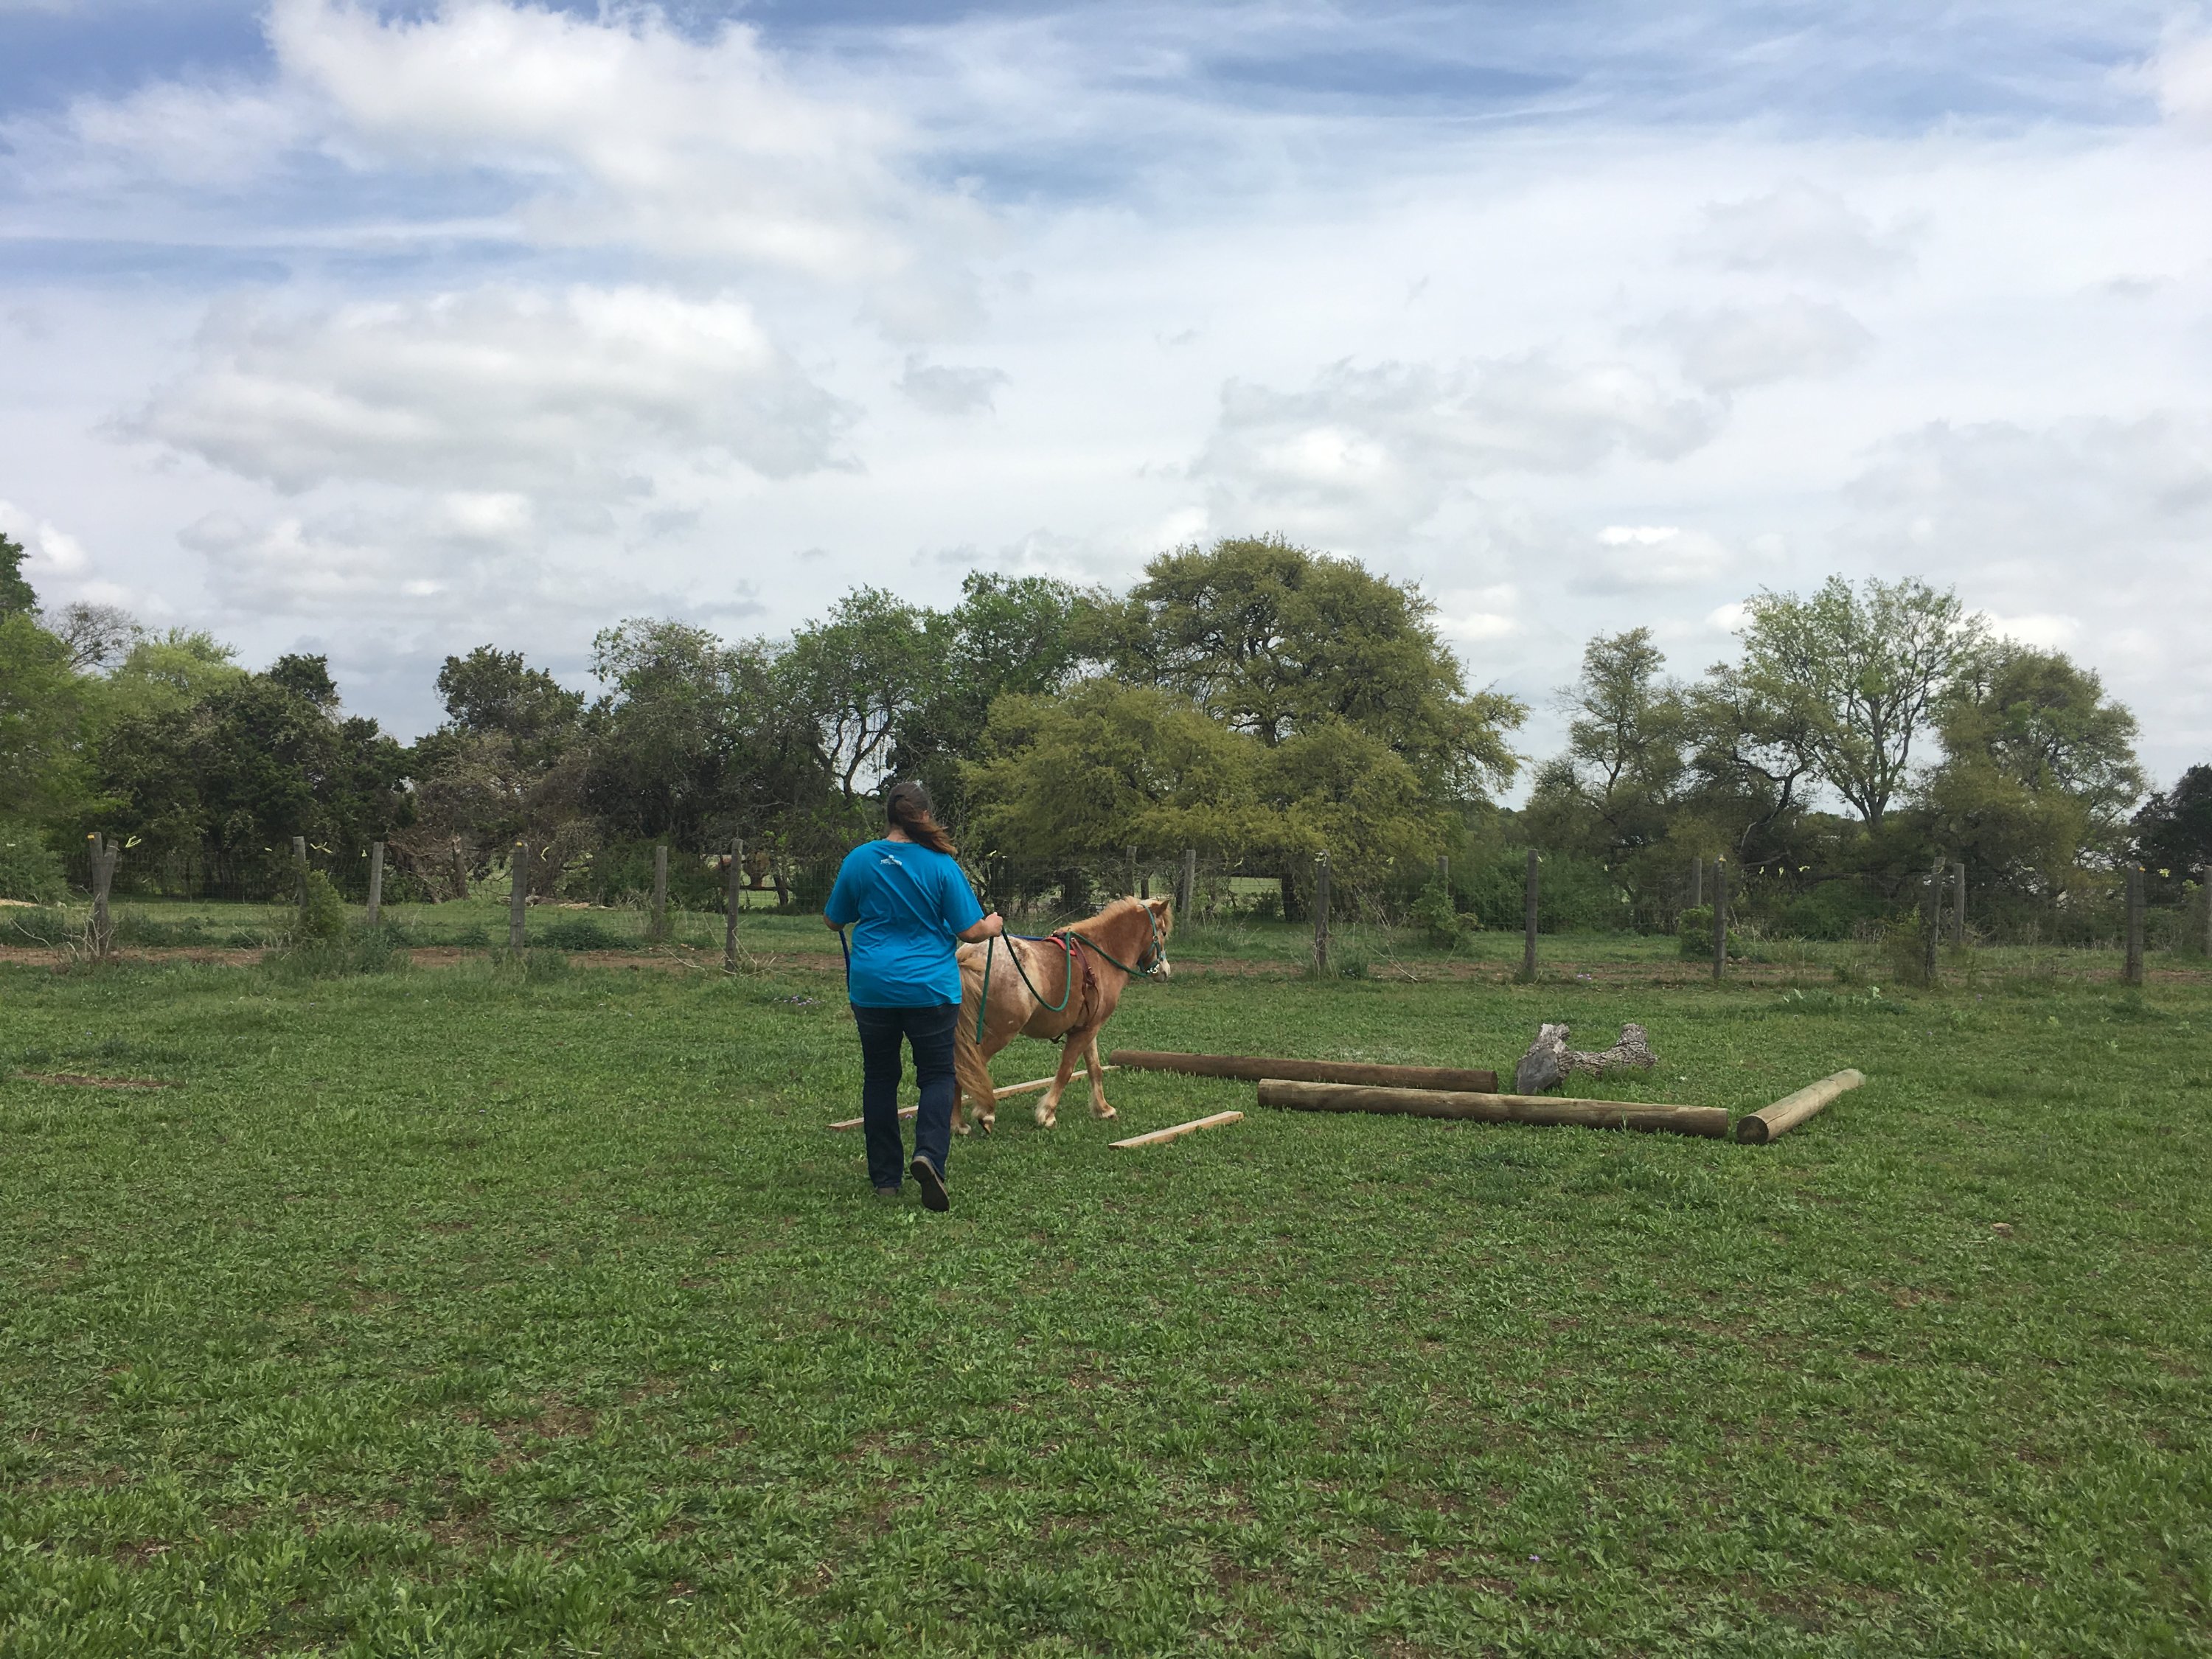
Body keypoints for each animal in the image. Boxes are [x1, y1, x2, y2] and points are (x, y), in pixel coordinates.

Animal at [951, 895, 1173, 1132]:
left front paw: (1103, 1109)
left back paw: (957, 1123)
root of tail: (969, 956)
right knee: (967, 1068)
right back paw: (982, 1115)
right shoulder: (1083, 1033)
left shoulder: (1089, 1028)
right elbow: (1066, 1070)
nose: (1165, 971)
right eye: (1163, 932)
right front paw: (1047, 1114)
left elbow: (1095, 1069)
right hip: (998, 1034)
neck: (1102, 954)